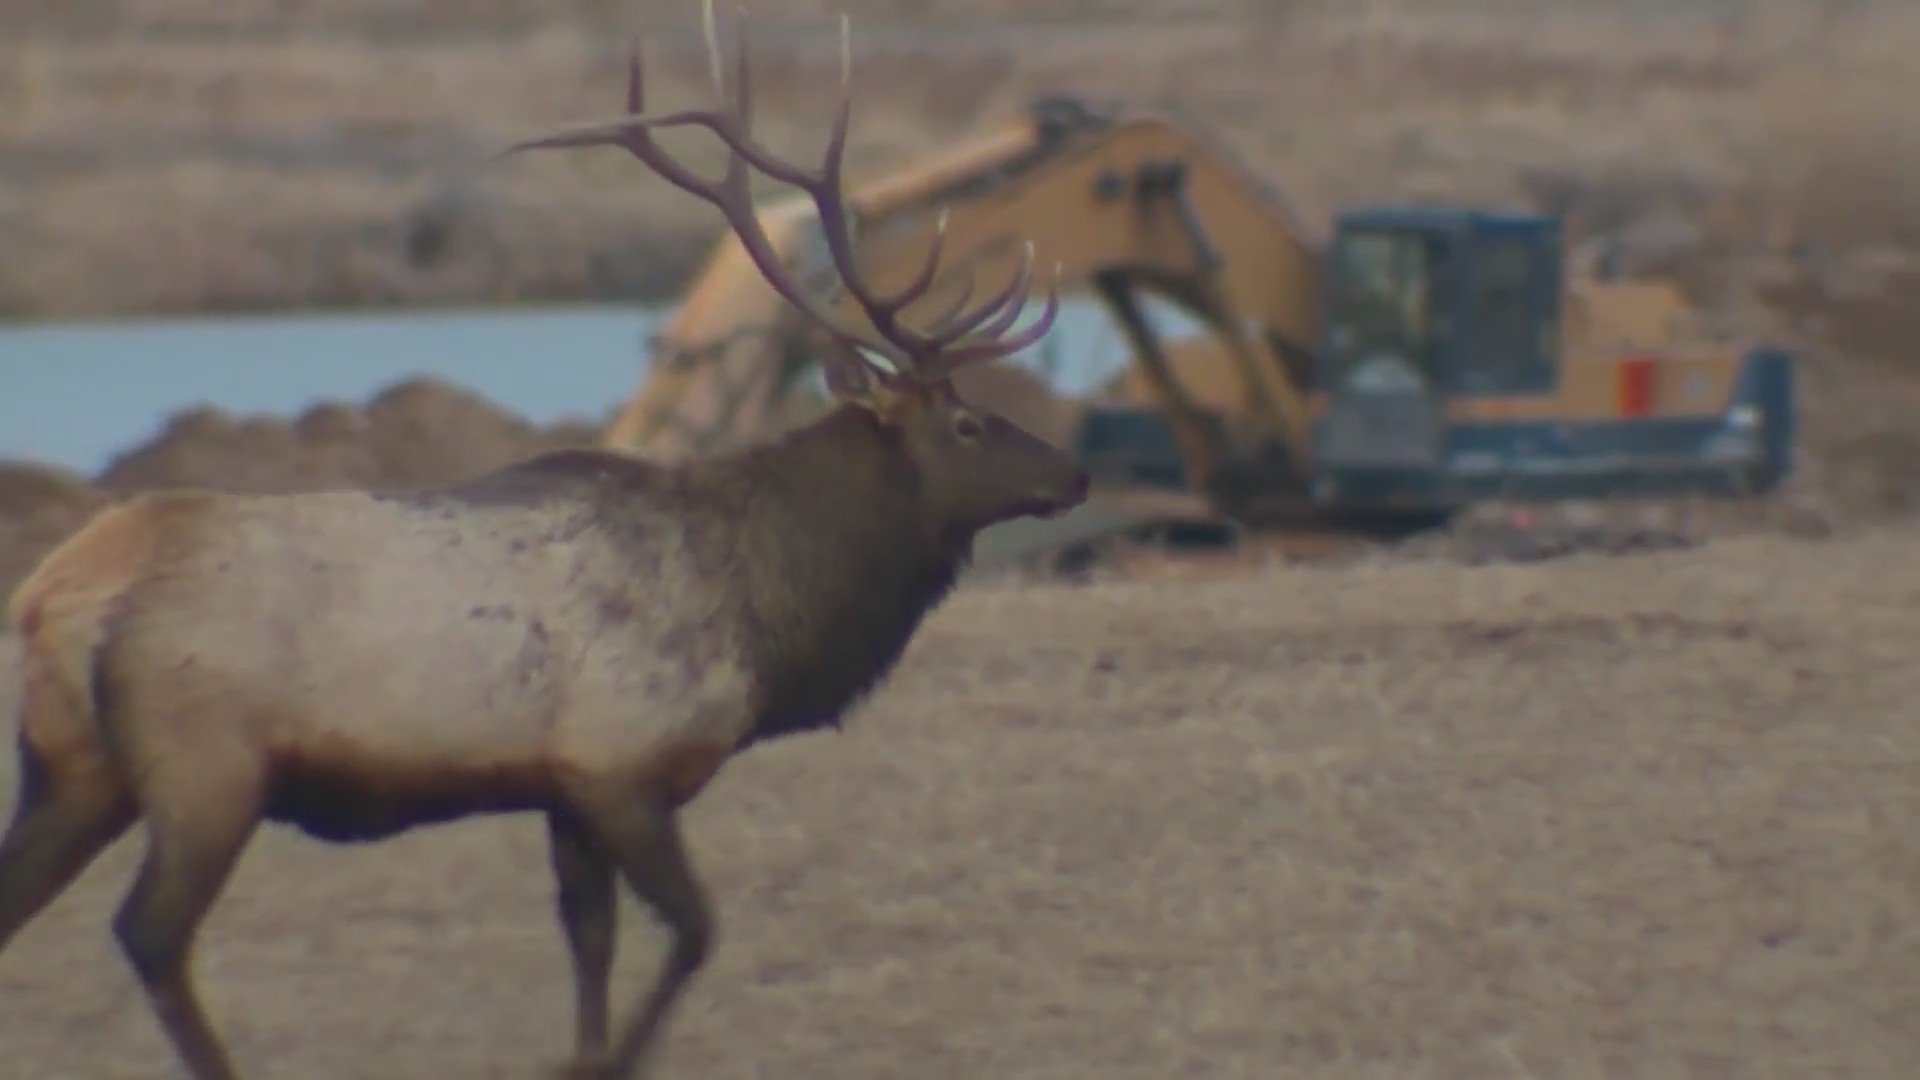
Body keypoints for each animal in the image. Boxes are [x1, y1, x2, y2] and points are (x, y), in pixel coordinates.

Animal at [0, 5, 1088, 1078]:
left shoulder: (562, 786)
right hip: (206, 766)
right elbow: (696, 930)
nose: (1074, 471)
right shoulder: (618, 765)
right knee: (152, 935)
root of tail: (57, 595)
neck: (765, 618)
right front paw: (597, 1063)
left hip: (73, 767)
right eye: (967, 424)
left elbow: (591, 943)